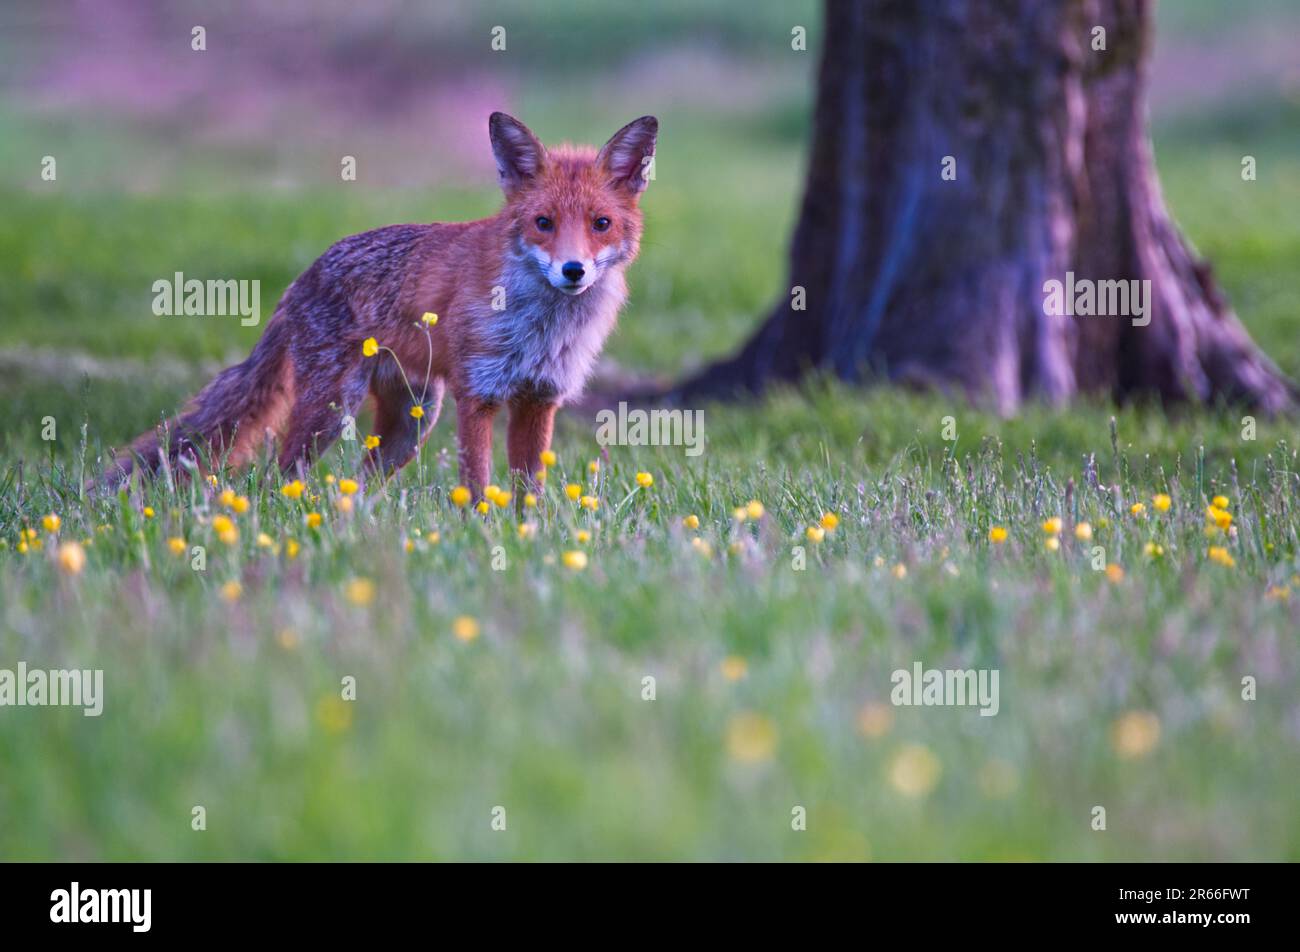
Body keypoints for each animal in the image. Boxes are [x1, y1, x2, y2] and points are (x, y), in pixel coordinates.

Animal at [109, 112, 658, 498]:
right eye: (544, 223)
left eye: (601, 224)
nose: (573, 271)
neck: (544, 327)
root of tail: (302, 277)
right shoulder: (477, 394)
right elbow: (478, 485)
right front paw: (484, 535)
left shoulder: (539, 399)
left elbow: (530, 492)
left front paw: (525, 538)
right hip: (332, 410)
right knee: (275, 479)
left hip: (412, 422)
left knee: (359, 484)